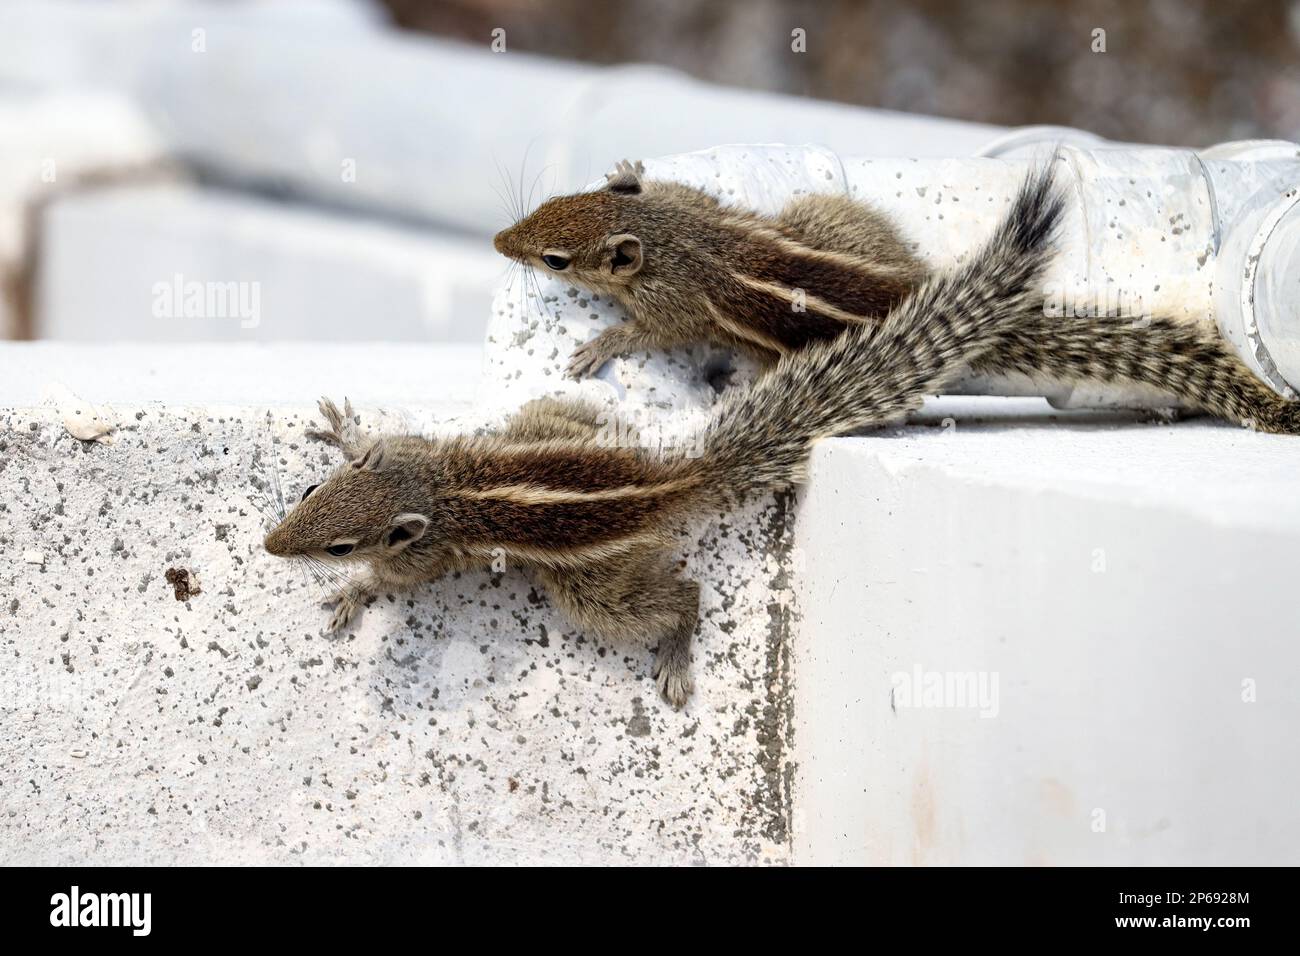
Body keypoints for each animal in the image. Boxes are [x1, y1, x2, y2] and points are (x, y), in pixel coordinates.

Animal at [264, 168, 1066, 708]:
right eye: (307, 490)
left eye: (337, 547)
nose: (272, 547)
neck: (430, 487)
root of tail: (668, 480)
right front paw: (341, 428)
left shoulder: (425, 556)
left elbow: (393, 580)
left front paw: (352, 593)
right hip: (561, 421)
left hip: (590, 587)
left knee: (680, 594)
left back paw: (677, 654)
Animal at [494, 158, 1300, 435]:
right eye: (553, 203)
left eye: (554, 258)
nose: (501, 240)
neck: (667, 236)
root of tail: (915, 292)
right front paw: (630, 165)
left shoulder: (675, 302)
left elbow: (649, 332)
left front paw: (599, 345)